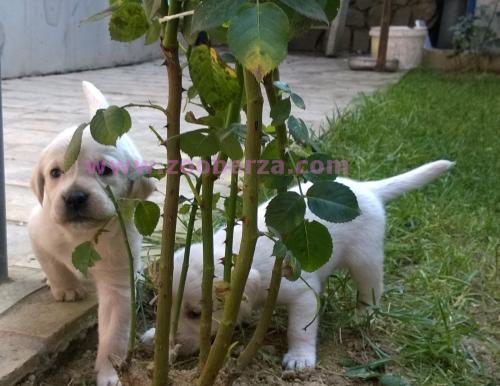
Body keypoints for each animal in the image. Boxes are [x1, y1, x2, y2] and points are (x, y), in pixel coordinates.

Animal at [28, 81, 154, 386]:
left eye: (104, 170)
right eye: (55, 173)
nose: (74, 198)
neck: (82, 237)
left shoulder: (118, 280)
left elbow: (113, 334)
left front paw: (109, 373)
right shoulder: (38, 230)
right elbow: (52, 264)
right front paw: (66, 287)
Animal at [143, 161, 456, 370]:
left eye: (196, 314)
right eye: (162, 307)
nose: (170, 345)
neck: (237, 256)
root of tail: (365, 188)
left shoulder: (302, 293)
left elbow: (299, 330)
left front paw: (300, 358)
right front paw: (152, 334)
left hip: (364, 257)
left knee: (372, 287)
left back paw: (364, 314)